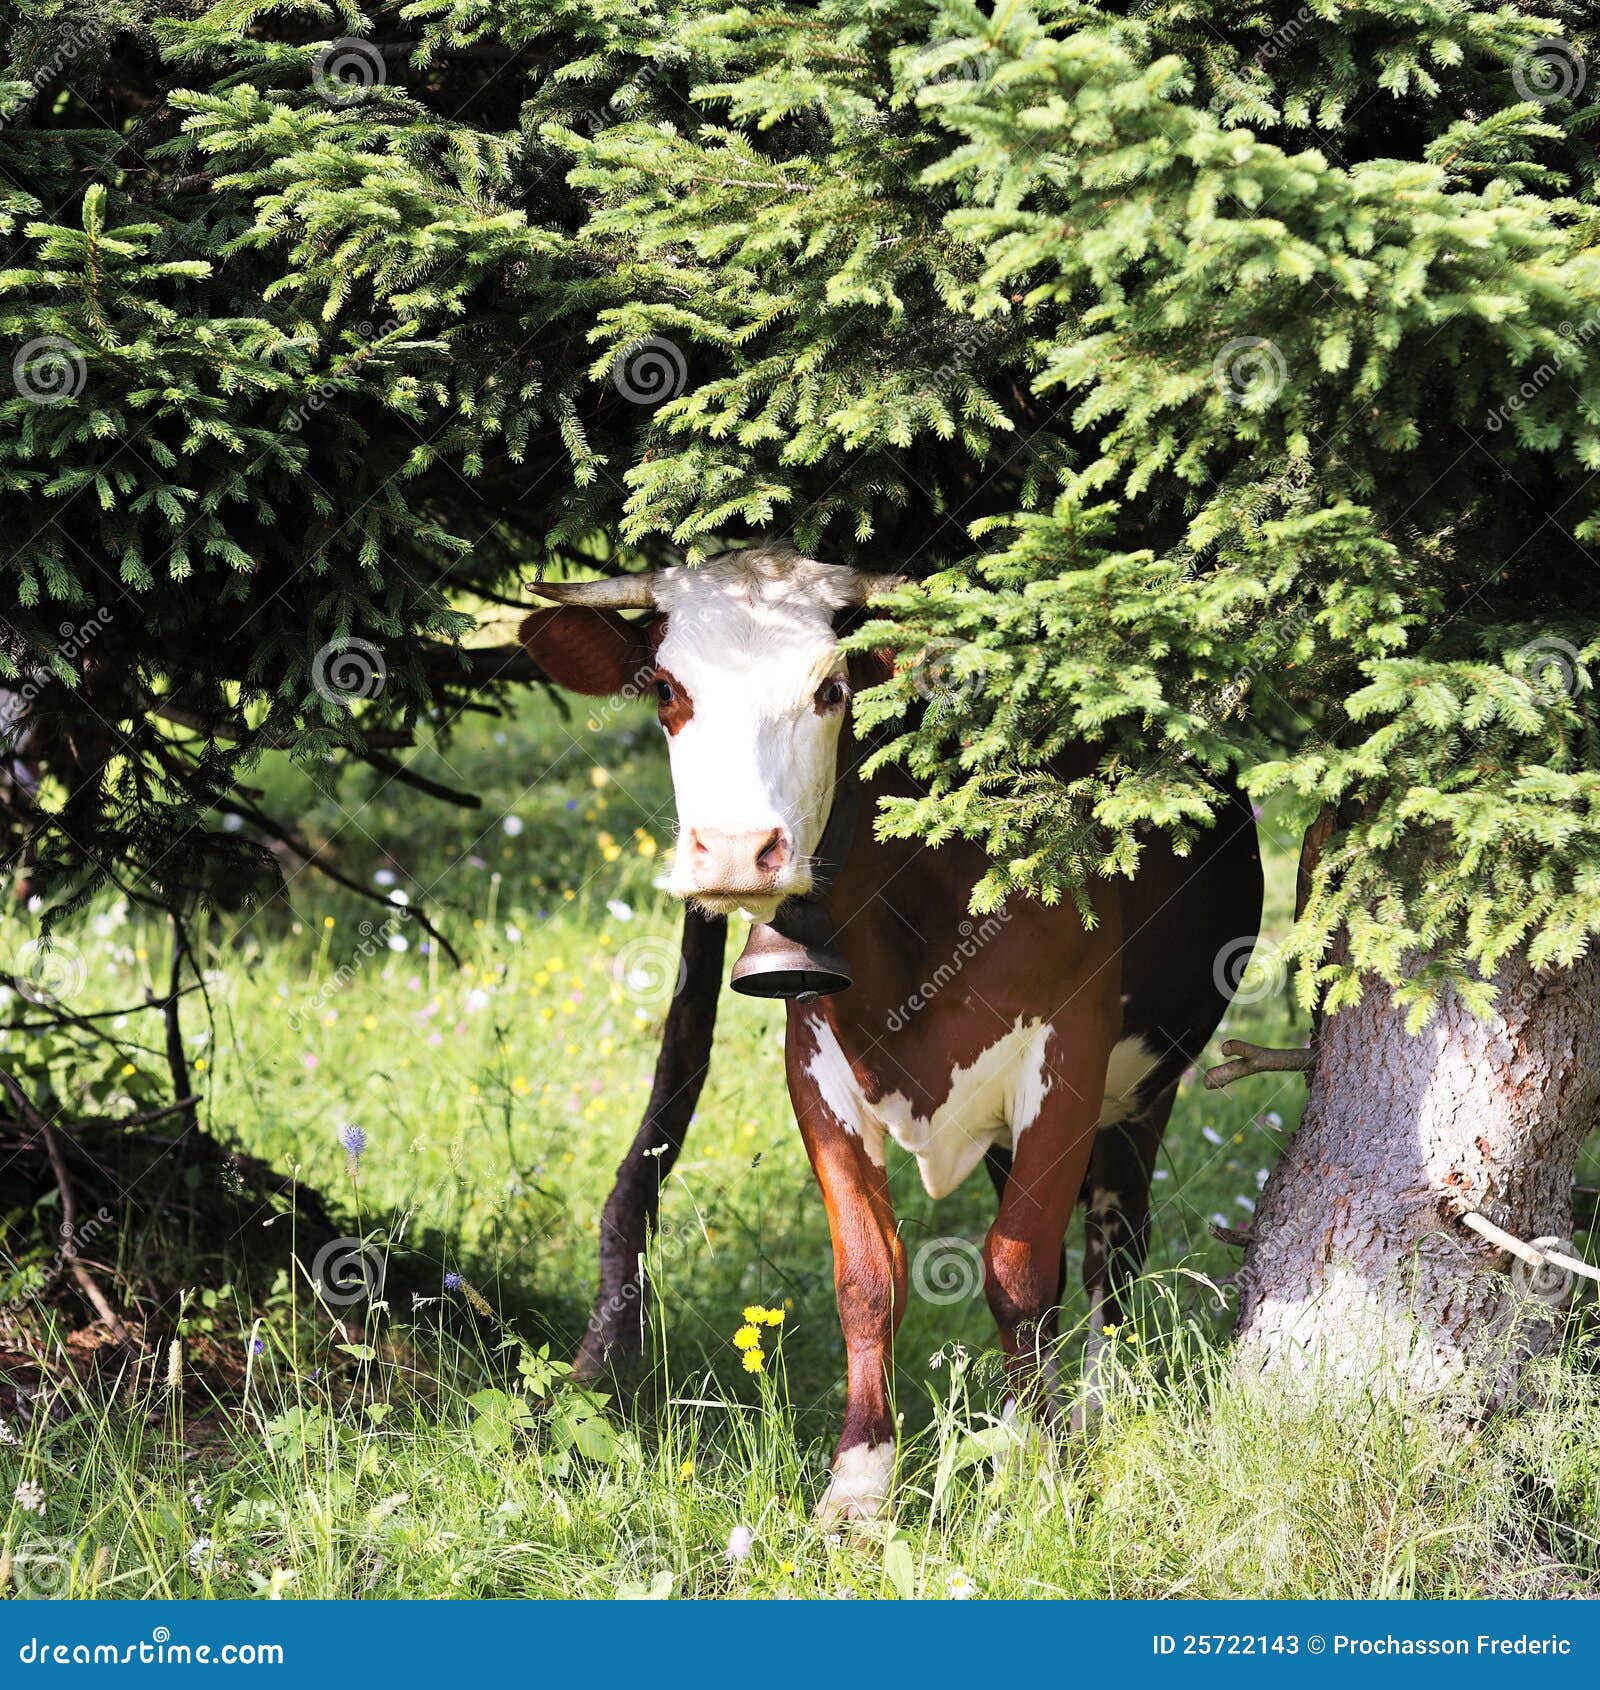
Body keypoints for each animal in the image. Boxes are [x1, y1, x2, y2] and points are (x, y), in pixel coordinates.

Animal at [522, 545, 1262, 1522]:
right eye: (669, 691)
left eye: (831, 689)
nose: (735, 850)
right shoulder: (816, 1064)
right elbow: (870, 1279)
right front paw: (861, 1487)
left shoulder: (1066, 1055)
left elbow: (1018, 1273)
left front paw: (1035, 1465)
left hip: (1145, 1085)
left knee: (1115, 1240)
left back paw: (1095, 1402)